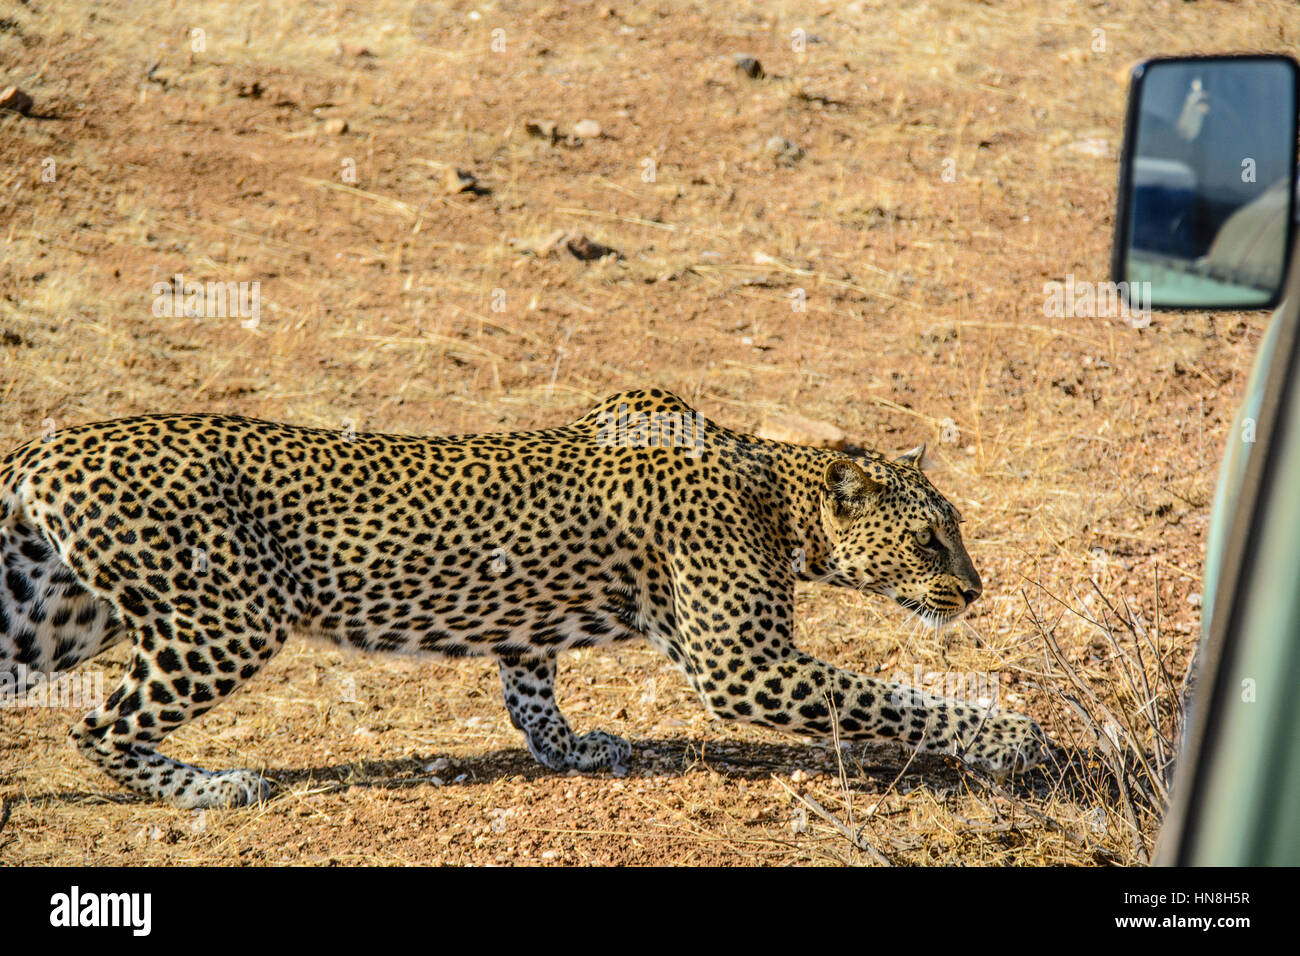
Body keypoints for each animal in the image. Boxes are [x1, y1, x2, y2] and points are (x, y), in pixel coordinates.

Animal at [0, 388, 1049, 808]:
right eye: (929, 538)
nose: (973, 587)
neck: (775, 497)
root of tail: (48, 447)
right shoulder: (744, 665)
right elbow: (891, 699)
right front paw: (1012, 739)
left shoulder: (529, 625)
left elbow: (529, 695)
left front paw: (576, 749)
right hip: (225, 618)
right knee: (99, 727)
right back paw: (214, 788)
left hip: (51, 613)